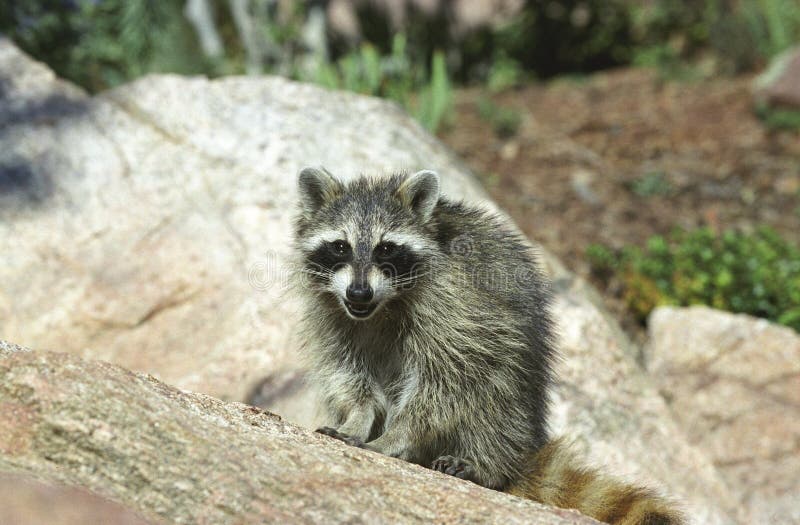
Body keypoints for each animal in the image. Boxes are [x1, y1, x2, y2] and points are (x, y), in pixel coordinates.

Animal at [293, 167, 683, 525]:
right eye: (340, 246)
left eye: (386, 248)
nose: (359, 292)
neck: (381, 306)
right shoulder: (333, 313)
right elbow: (346, 370)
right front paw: (359, 417)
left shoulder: (456, 309)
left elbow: (444, 384)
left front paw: (396, 435)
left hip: (515, 385)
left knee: (491, 393)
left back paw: (485, 464)